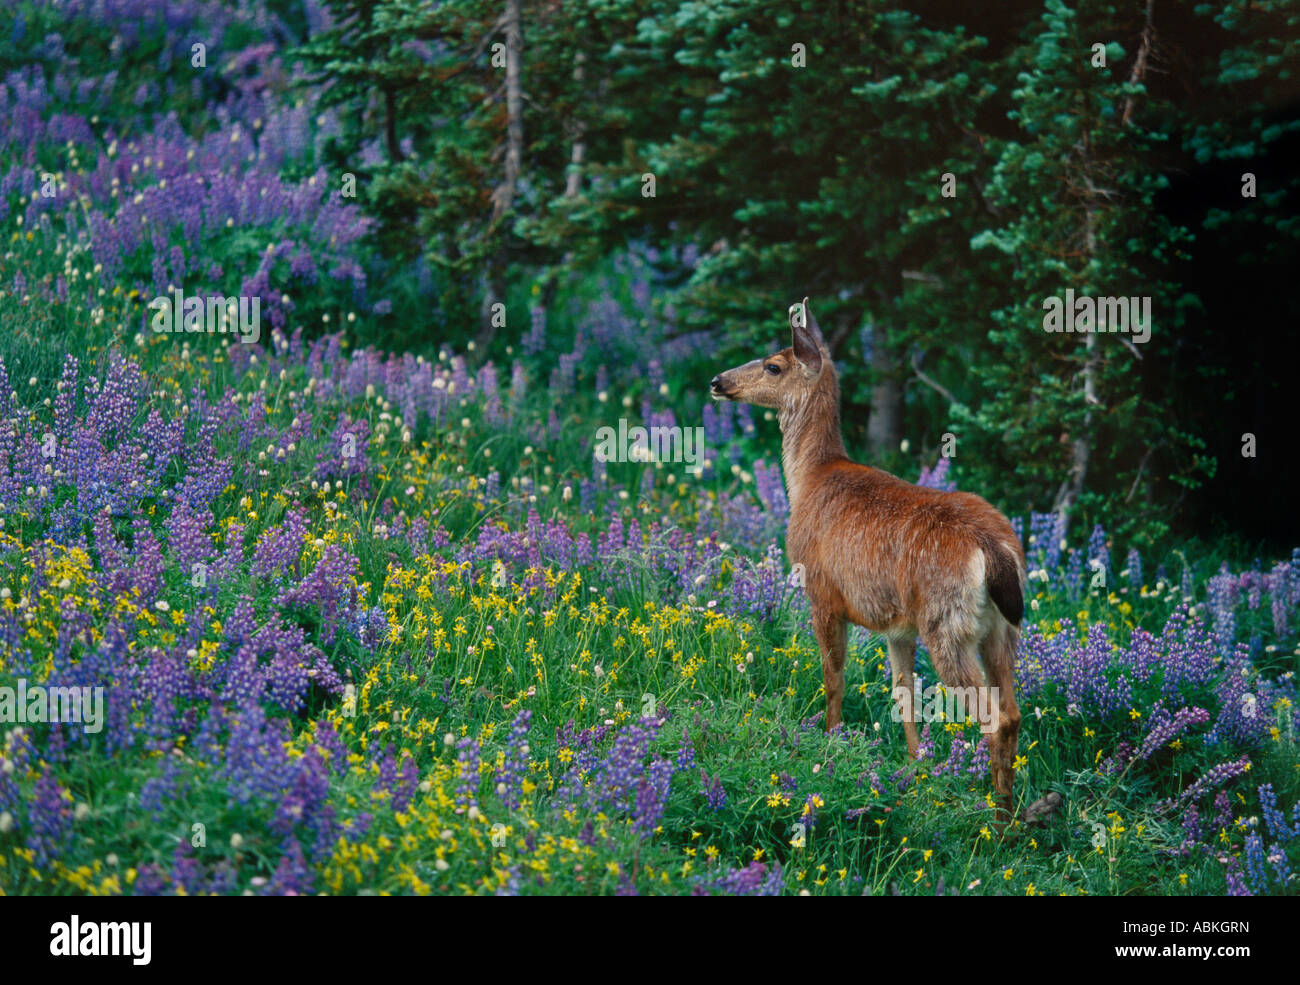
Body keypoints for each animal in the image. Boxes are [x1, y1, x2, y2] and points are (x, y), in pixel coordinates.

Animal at [710, 298, 1029, 829]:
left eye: (773, 364)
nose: (718, 381)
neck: (810, 479)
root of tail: (994, 547)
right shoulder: (897, 625)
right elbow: (903, 693)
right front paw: (916, 768)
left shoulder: (822, 591)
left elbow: (834, 676)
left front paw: (828, 743)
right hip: (1000, 629)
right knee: (1015, 710)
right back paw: (1012, 811)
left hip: (947, 624)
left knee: (994, 717)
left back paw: (999, 822)